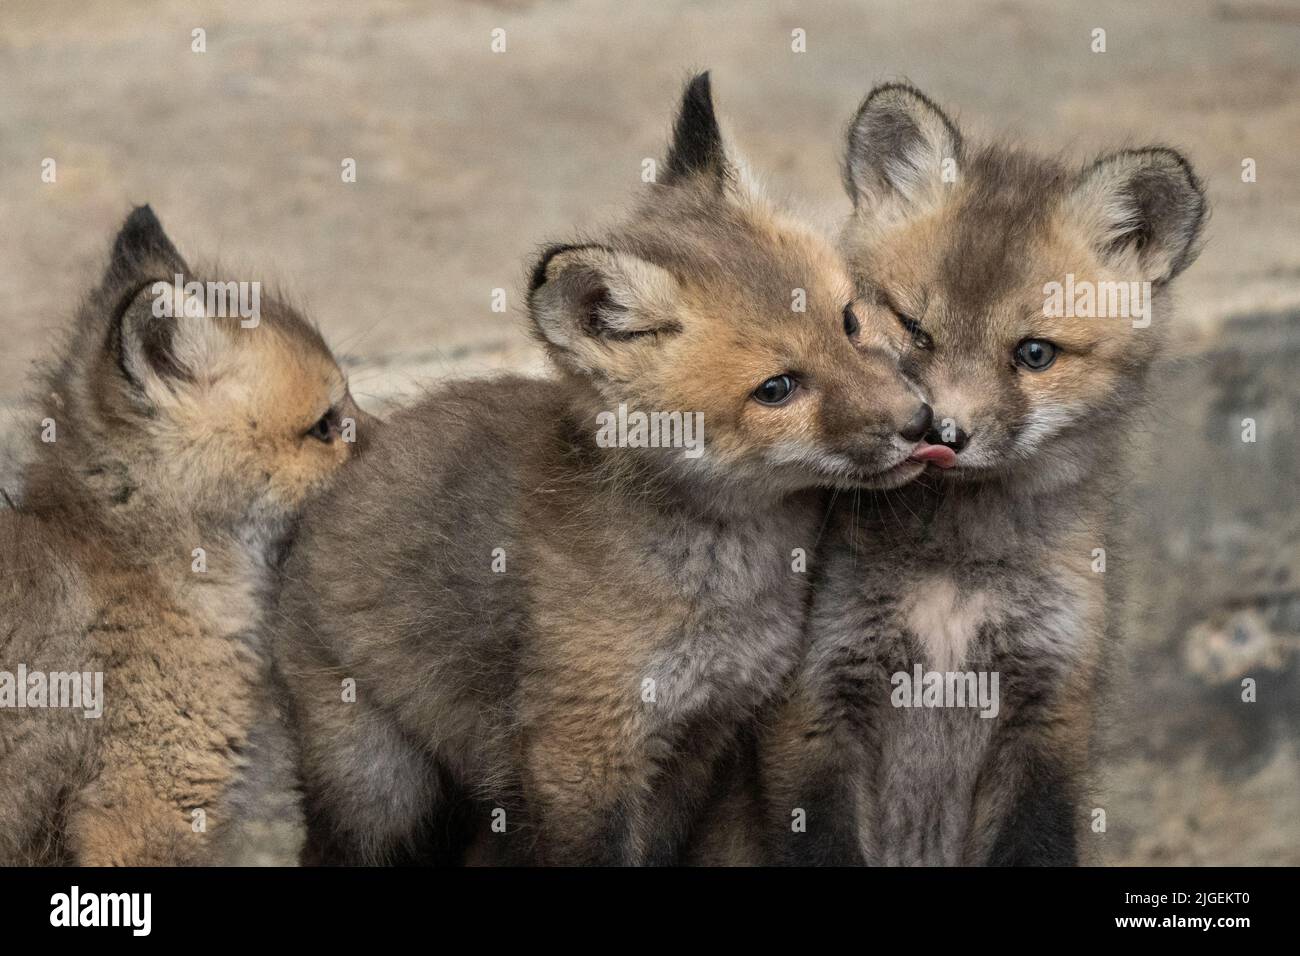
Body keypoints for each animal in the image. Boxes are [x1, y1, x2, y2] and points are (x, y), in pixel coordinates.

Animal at [274, 72, 935, 866]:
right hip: (380, 790)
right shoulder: (583, 754)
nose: (922, 423)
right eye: (777, 389)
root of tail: (370, 440)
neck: (723, 589)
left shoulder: (698, 739)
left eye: (849, 321)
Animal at [756, 85, 1207, 865]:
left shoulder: (1050, 706)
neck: (954, 572)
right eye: (912, 328)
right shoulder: (817, 700)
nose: (943, 432)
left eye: (1035, 353)